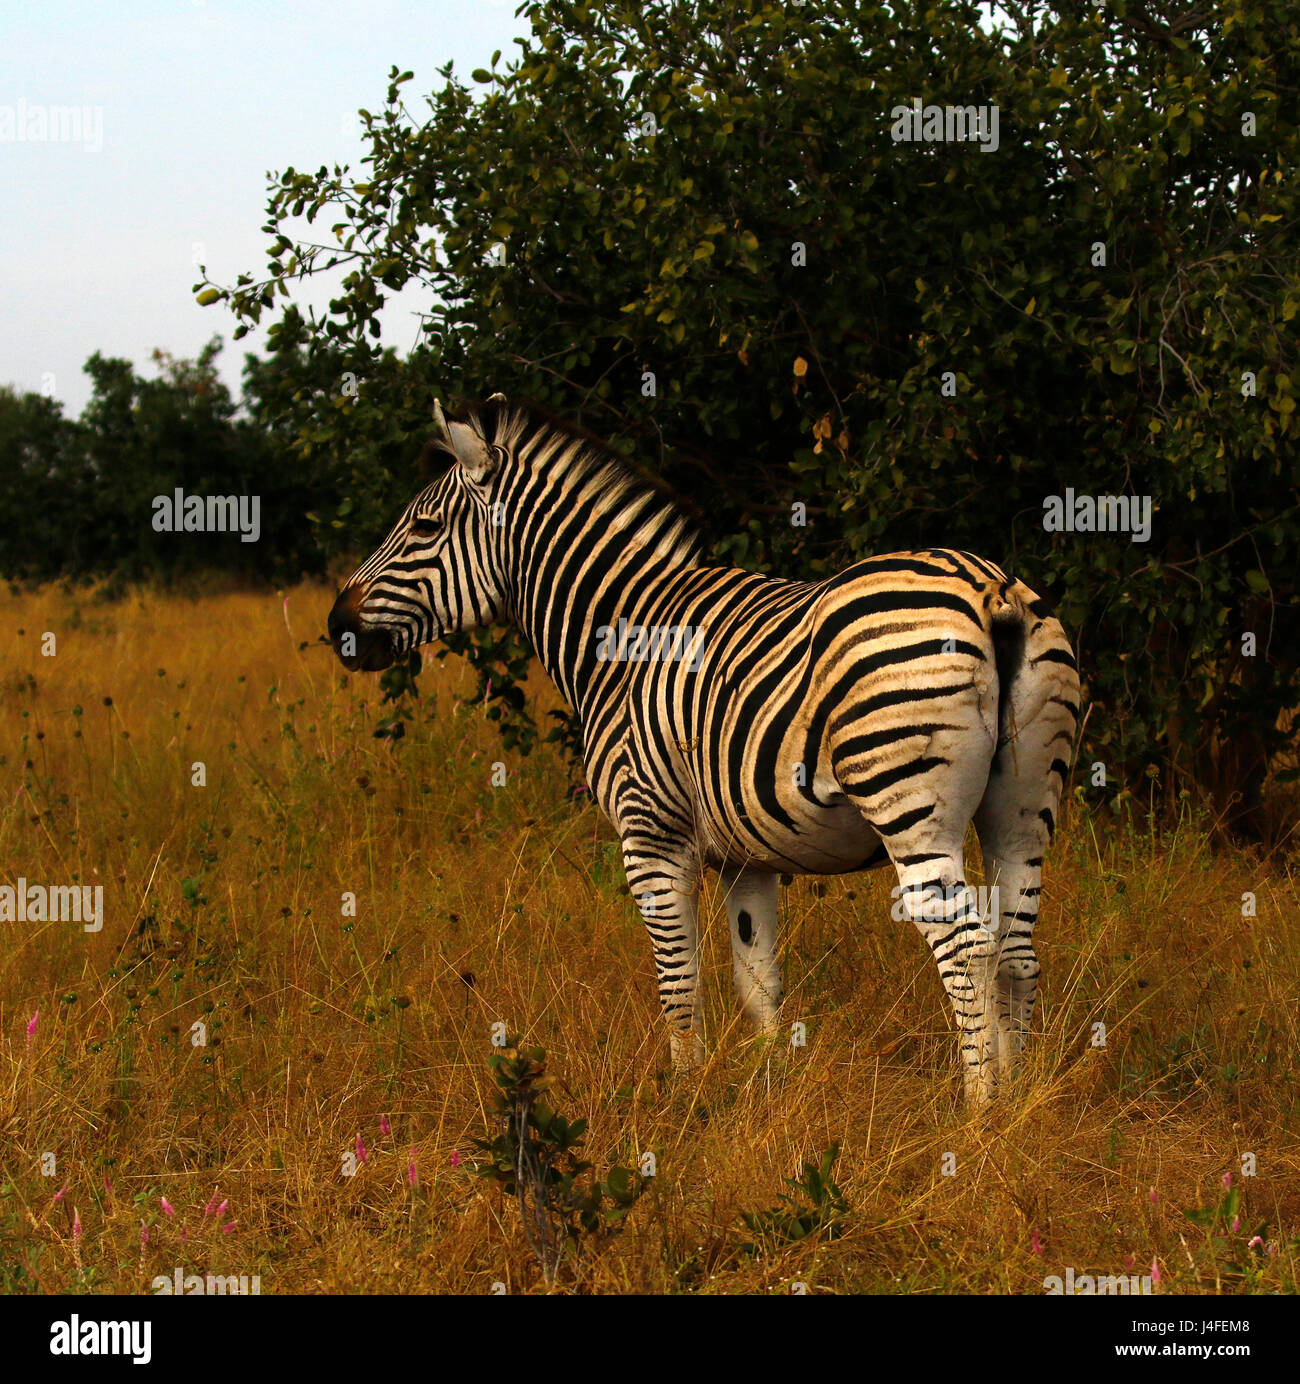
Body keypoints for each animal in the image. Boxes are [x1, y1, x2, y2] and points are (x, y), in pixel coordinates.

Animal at [328, 395, 1080, 1104]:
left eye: (424, 528)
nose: (338, 626)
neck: (620, 640)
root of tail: (989, 589)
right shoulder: (746, 856)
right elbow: (758, 980)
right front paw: (771, 1094)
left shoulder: (650, 832)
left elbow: (677, 980)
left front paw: (687, 1098)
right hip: (1022, 809)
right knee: (1017, 952)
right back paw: (1018, 1101)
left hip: (909, 804)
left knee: (967, 950)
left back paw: (977, 1111)